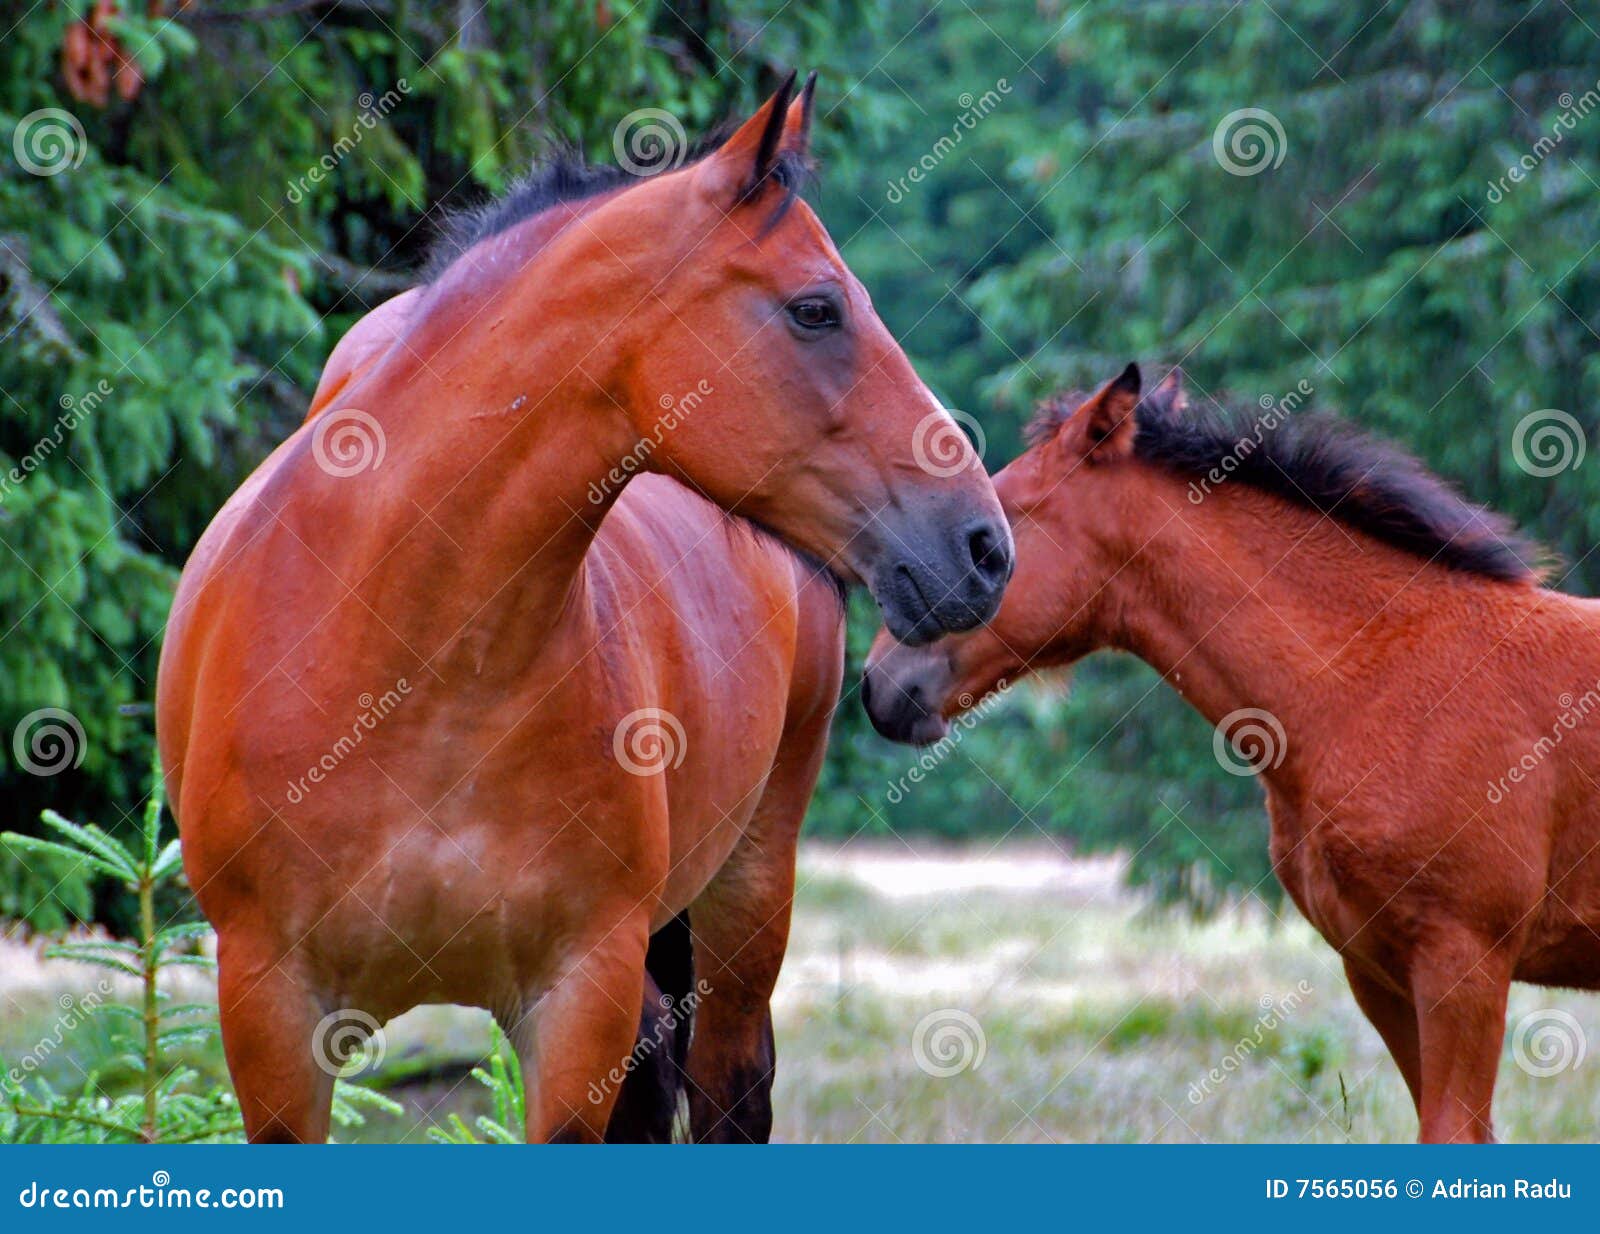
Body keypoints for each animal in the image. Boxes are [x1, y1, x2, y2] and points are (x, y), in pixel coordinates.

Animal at [156, 73, 1014, 1144]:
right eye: (817, 309)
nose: (984, 548)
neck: (415, 666)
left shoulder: (575, 1005)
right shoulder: (274, 1015)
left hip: (747, 901)